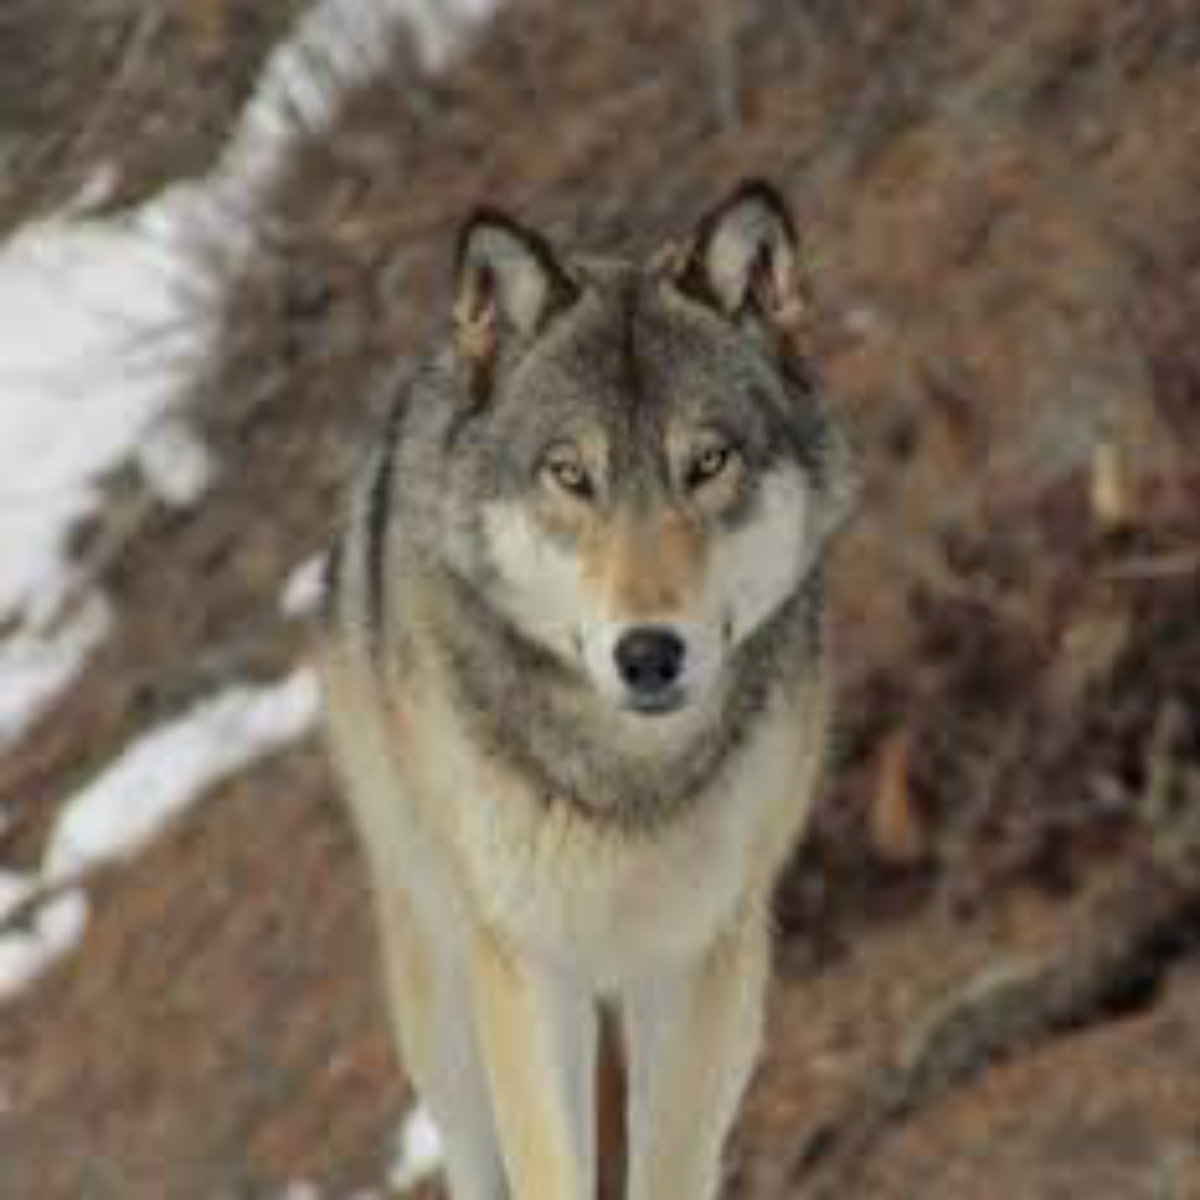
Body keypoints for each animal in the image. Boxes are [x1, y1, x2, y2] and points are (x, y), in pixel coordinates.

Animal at [317, 179, 855, 1200]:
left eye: (707, 462)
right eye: (572, 474)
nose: (648, 654)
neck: (626, 781)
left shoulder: (697, 961)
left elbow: (670, 1165)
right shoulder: (526, 962)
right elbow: (548, 1164)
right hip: (438, 981)